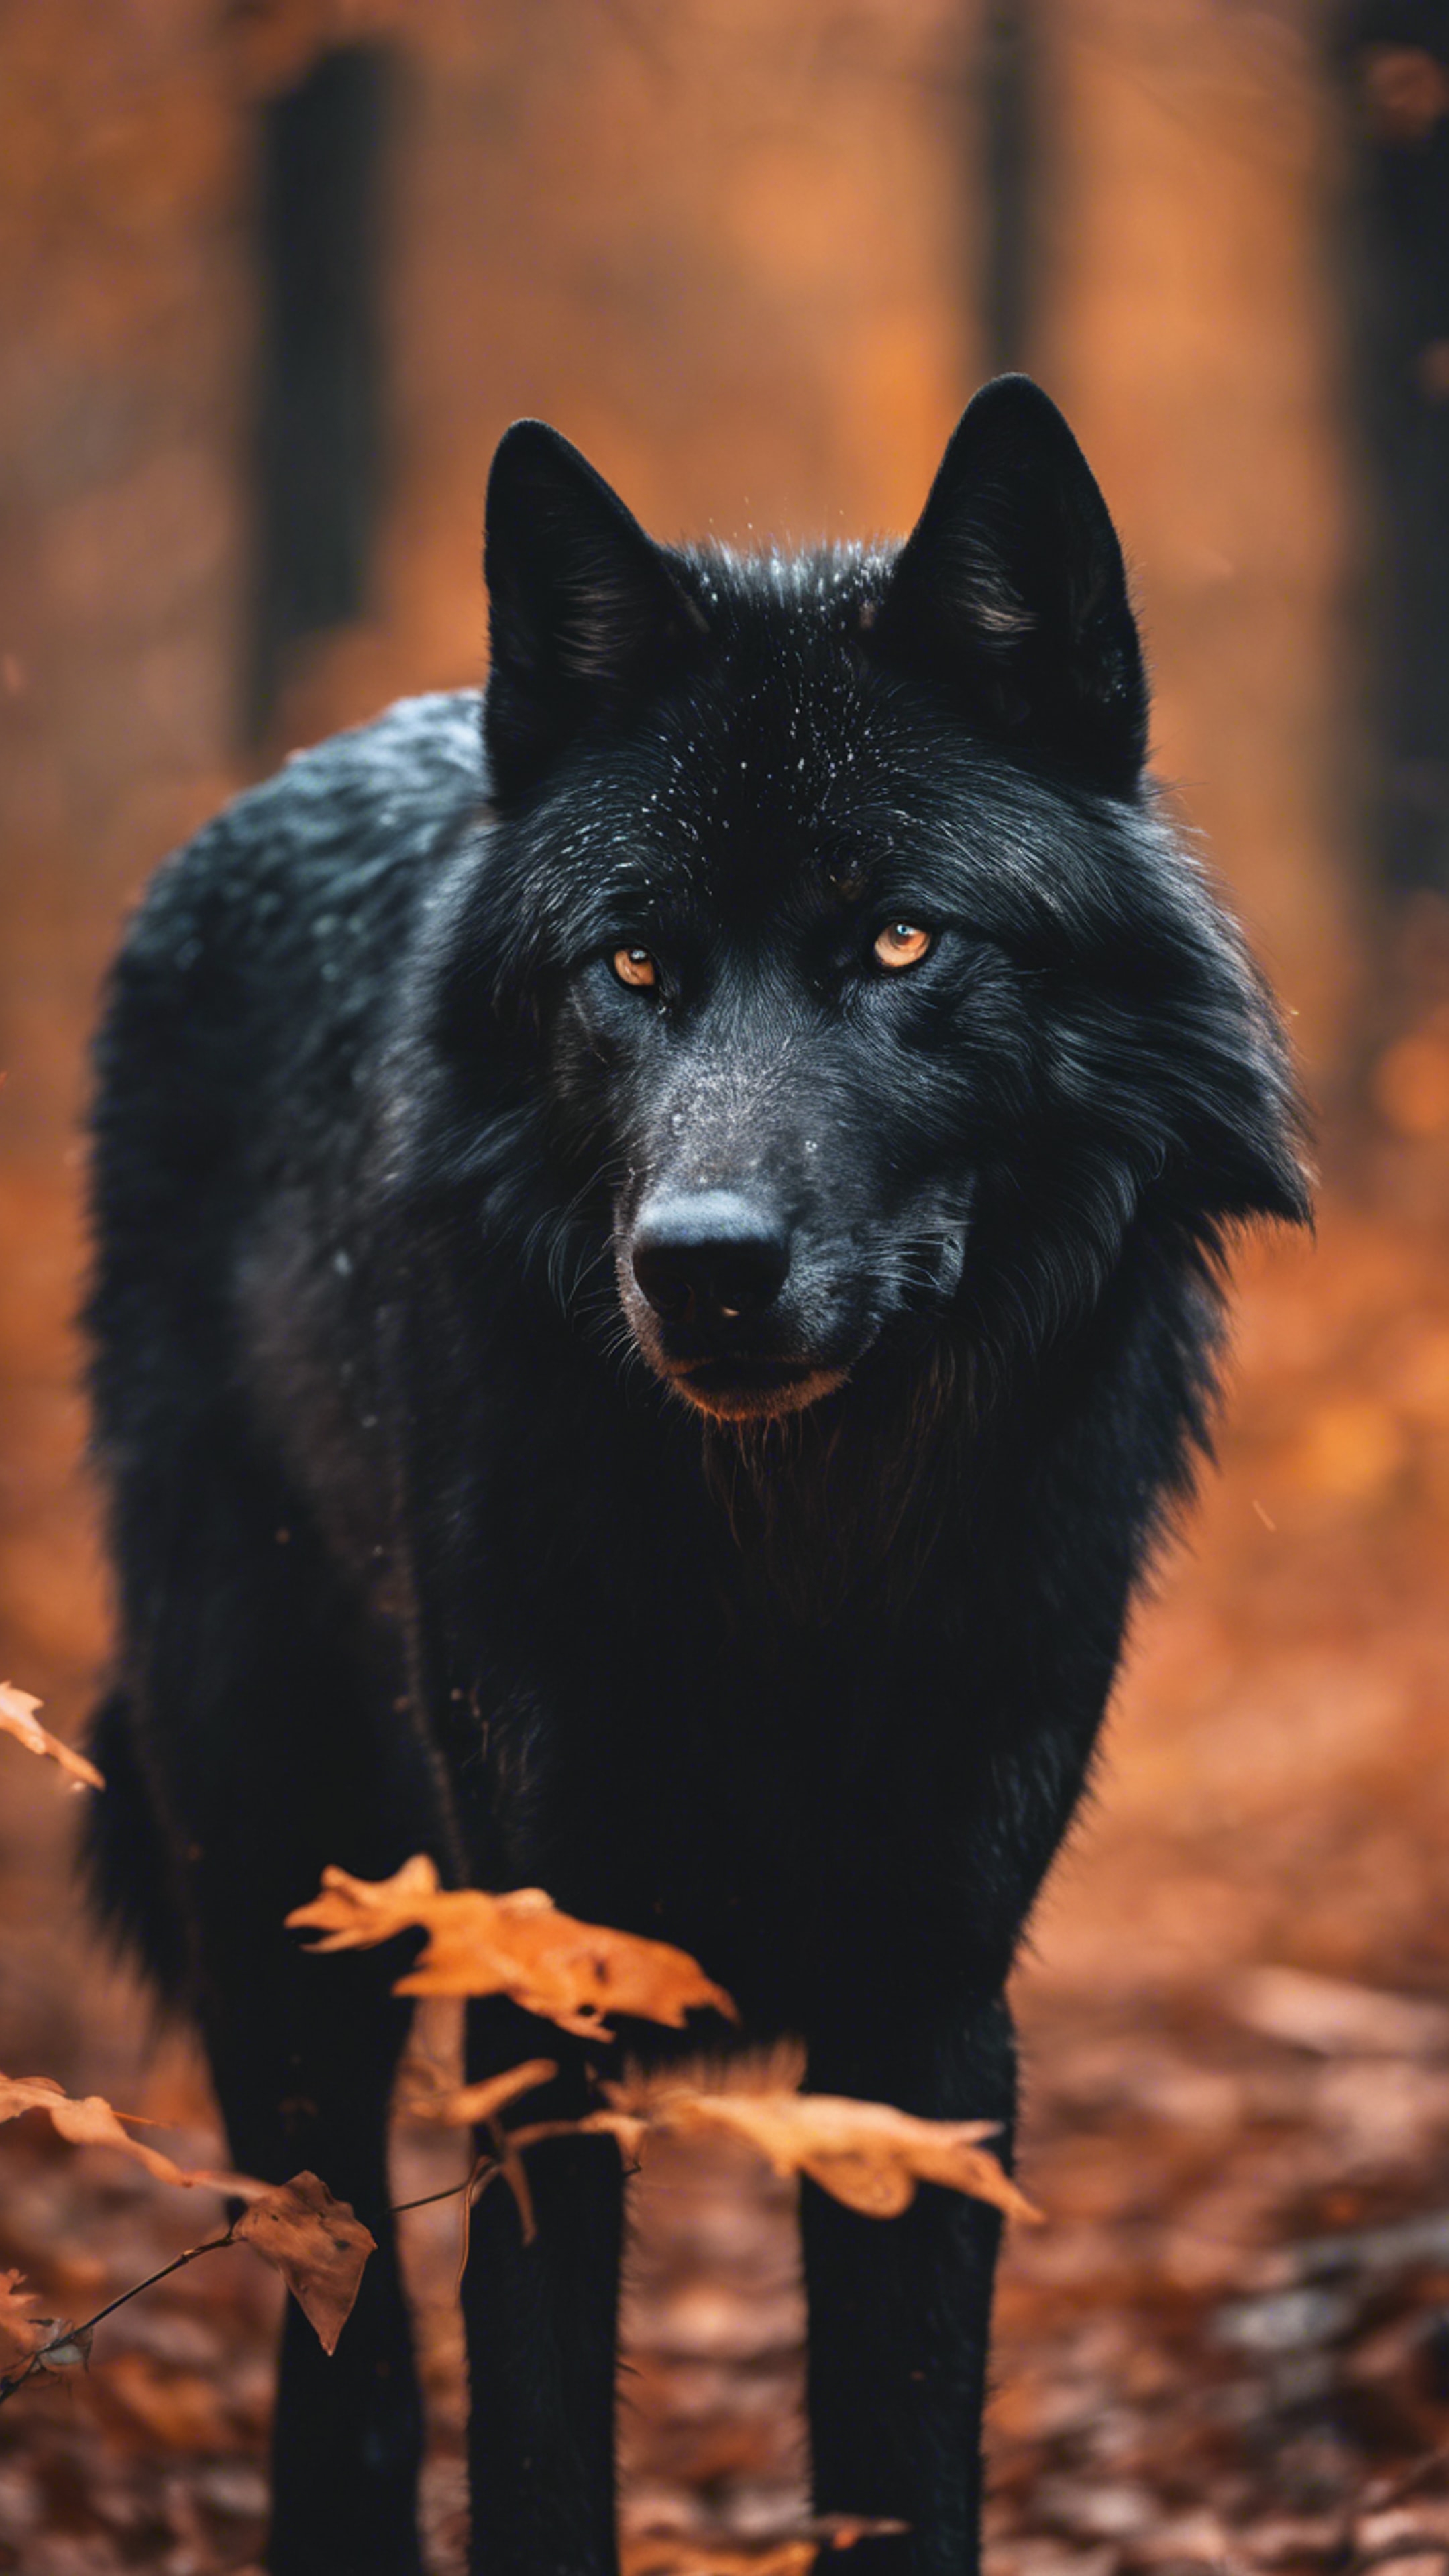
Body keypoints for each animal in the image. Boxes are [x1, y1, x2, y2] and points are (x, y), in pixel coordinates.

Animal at [83, 376, 1308, 2576]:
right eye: (634, 966)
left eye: (901, 940)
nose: (704, 1263)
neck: (795, 1557)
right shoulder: (537, 1990)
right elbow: (538, 2451)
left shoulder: (932, 2010)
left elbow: (904, 2465)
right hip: (280, 1906)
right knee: (345, 2339)